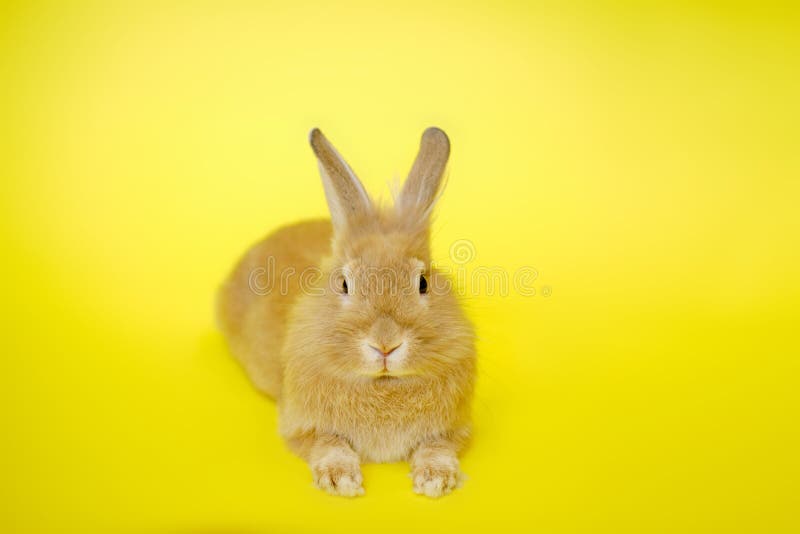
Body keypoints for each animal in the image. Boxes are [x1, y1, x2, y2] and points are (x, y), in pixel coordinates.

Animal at [217, 127, 476, 498]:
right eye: (344, 284)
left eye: (423, 282)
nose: (385, 344)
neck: (382, 384)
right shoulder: (304, 426)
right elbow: (329, 445)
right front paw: (341, 481)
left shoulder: (452, 430)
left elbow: (437, 447)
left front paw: (436, 480)